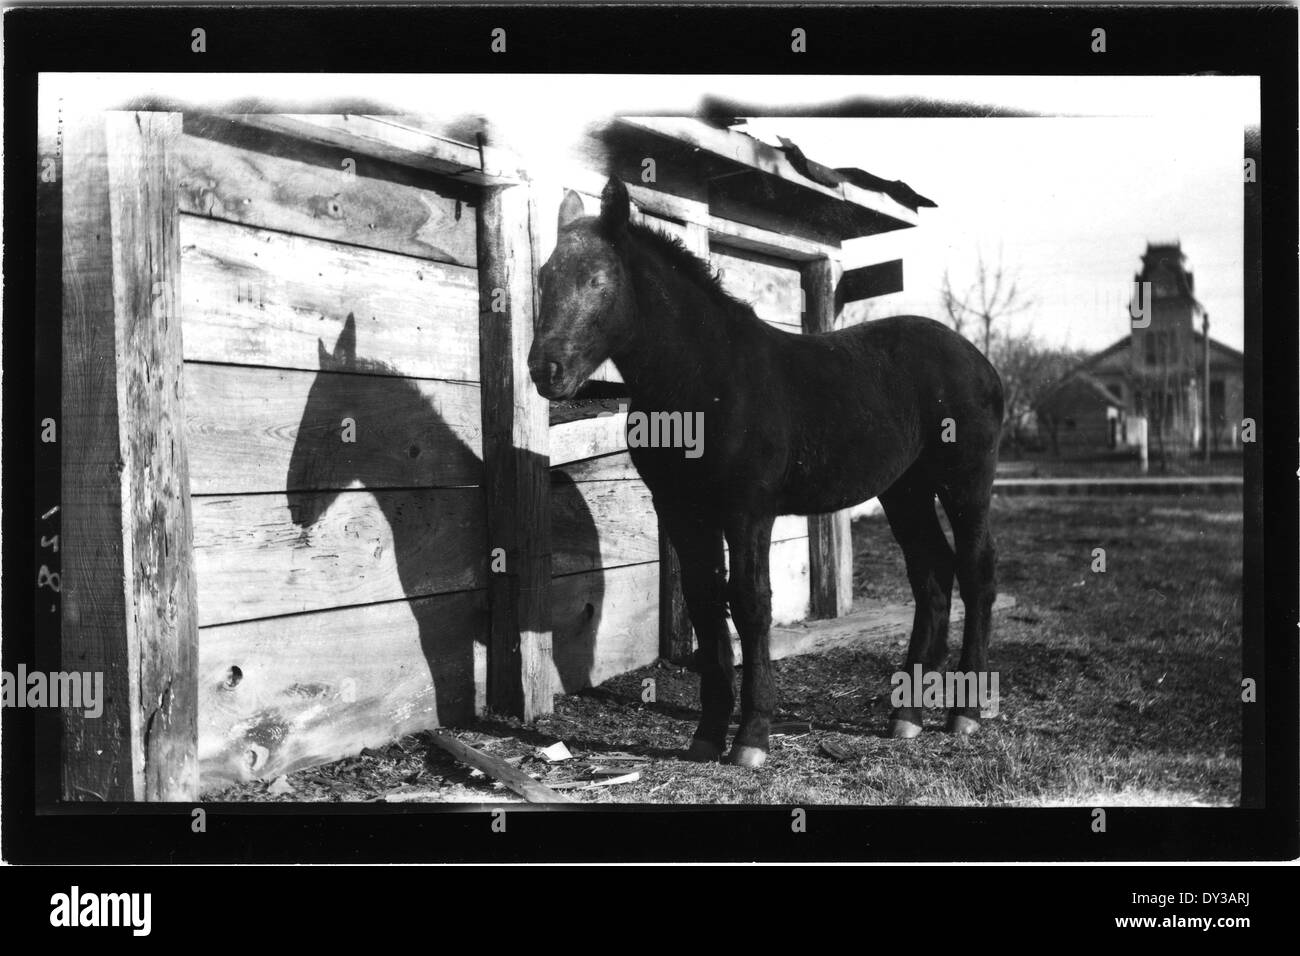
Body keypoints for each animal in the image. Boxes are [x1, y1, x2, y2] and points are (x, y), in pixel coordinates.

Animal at [529, 177, 1004, 768]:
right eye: (543, 277)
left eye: (598, 281)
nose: (544, 371)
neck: (704, 380)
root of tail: (980, 362)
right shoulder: (680, 508)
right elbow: (706, 602)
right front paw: (708, 734)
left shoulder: (748, 508)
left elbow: (751, 603)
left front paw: (752, 736)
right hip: (905, 490)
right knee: (933, 574)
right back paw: (907, 716)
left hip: (965, 483)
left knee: (976, 571)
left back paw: (965, 711)